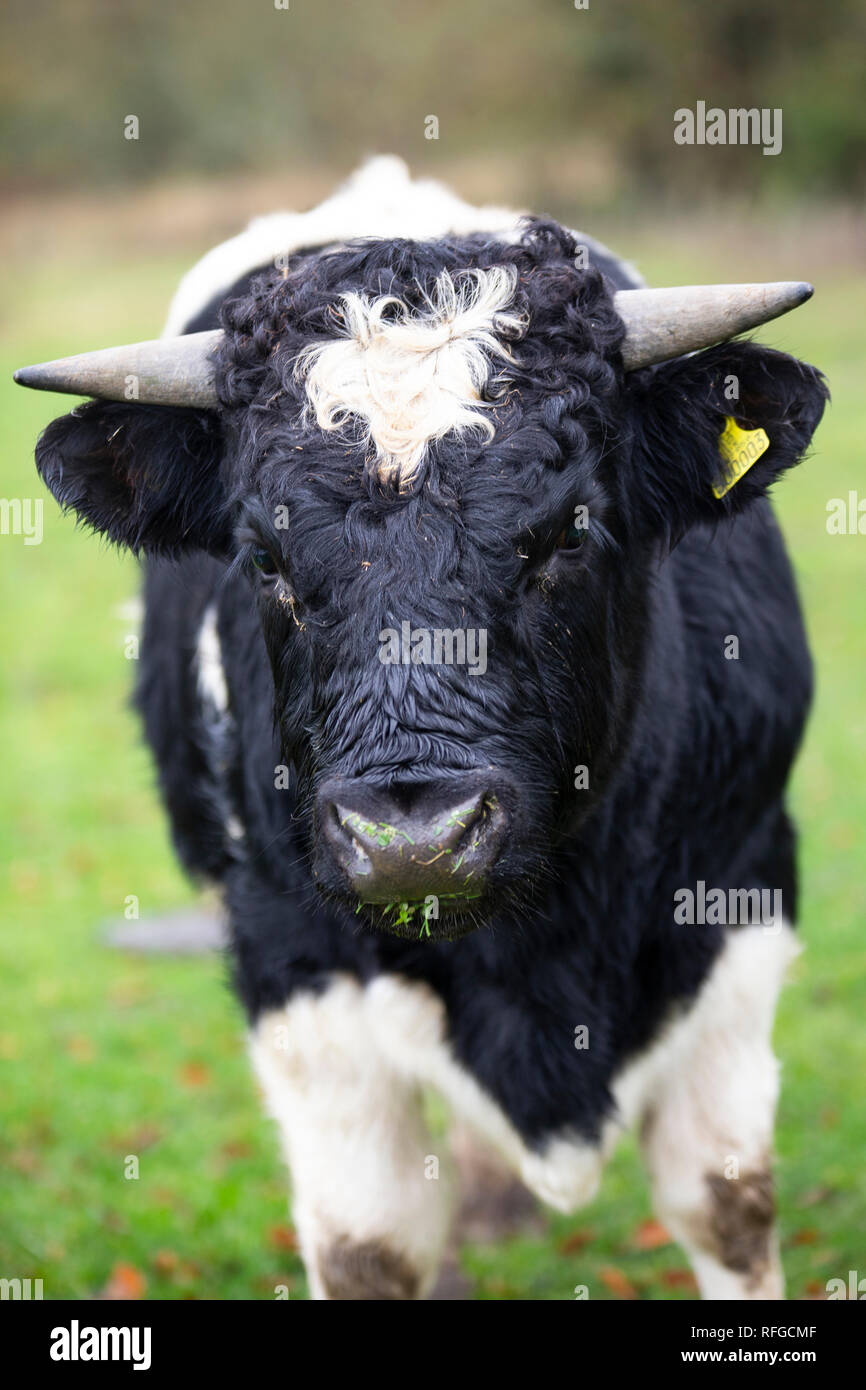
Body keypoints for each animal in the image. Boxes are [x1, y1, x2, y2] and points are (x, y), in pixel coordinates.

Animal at [16, 158, 827, 1300]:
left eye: (569, 529)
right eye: (262, 556)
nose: (415, 839)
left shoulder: (740, 893)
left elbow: (727, 1203)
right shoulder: (295, 965)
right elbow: (371, 1244)